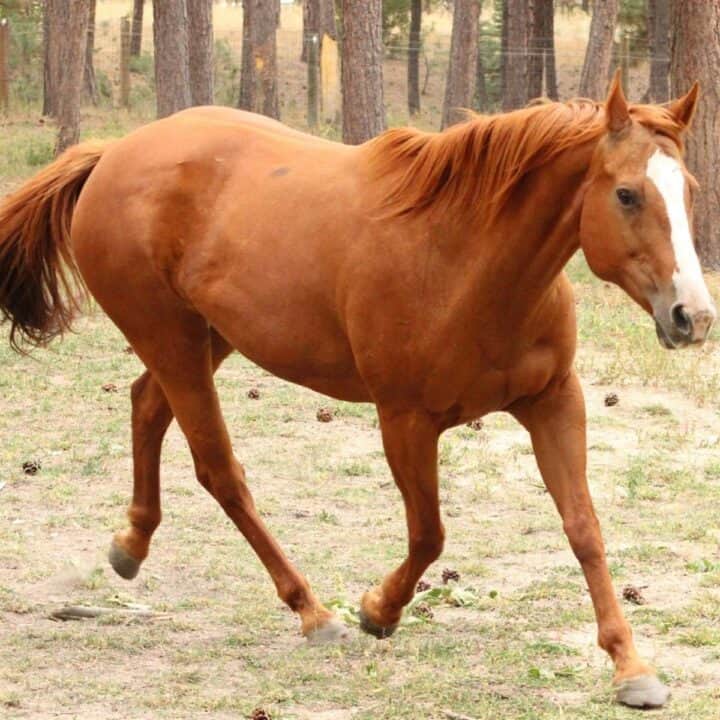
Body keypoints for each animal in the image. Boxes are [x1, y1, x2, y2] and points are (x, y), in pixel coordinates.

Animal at [0, 73, 714, 708]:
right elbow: (429, 535)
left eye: (689, 191)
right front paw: (378, 610)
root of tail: (114, 153)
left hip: (207, 338)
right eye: (627, 194)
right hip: (171, 341)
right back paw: (314, 613)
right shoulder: (405, 420)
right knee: (219, 471)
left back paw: (131, 546)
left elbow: (584, 529)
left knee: (147, 407)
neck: (464, 260)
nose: (693, 316)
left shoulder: (554, 402)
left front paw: (632, 667)